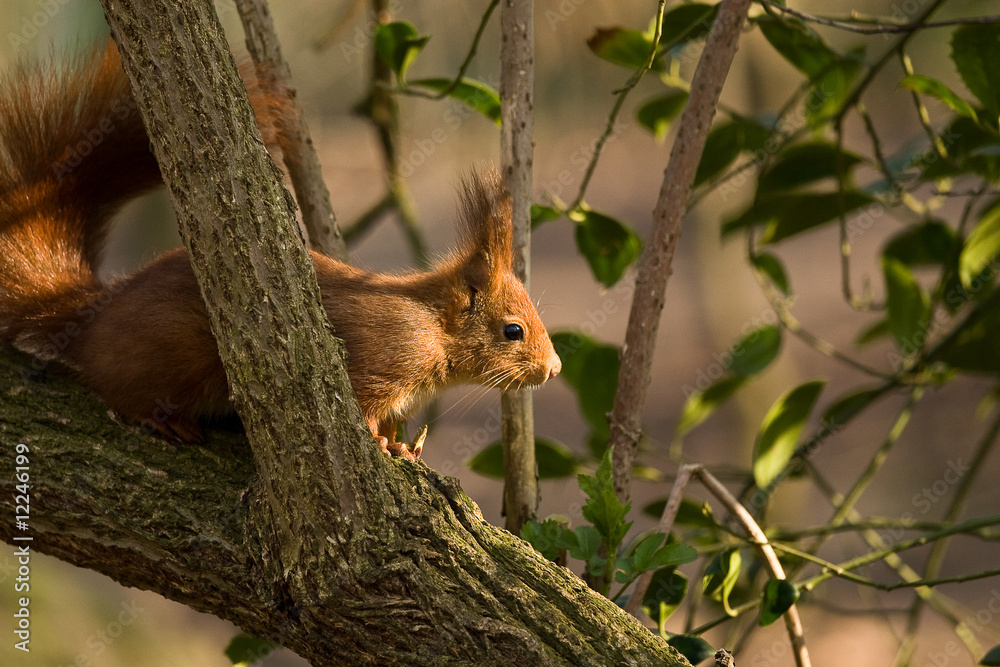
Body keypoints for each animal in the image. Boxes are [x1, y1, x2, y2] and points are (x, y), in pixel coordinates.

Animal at [0, 42, 561, 460]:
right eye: (513, 330)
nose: (553, 368)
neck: (431, 325)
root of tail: (92, 317)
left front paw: (399, 445)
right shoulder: (382, 357)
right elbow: (364, 405)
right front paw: (382, 443)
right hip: (168, 354)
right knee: (120, 391)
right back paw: (165, 420)